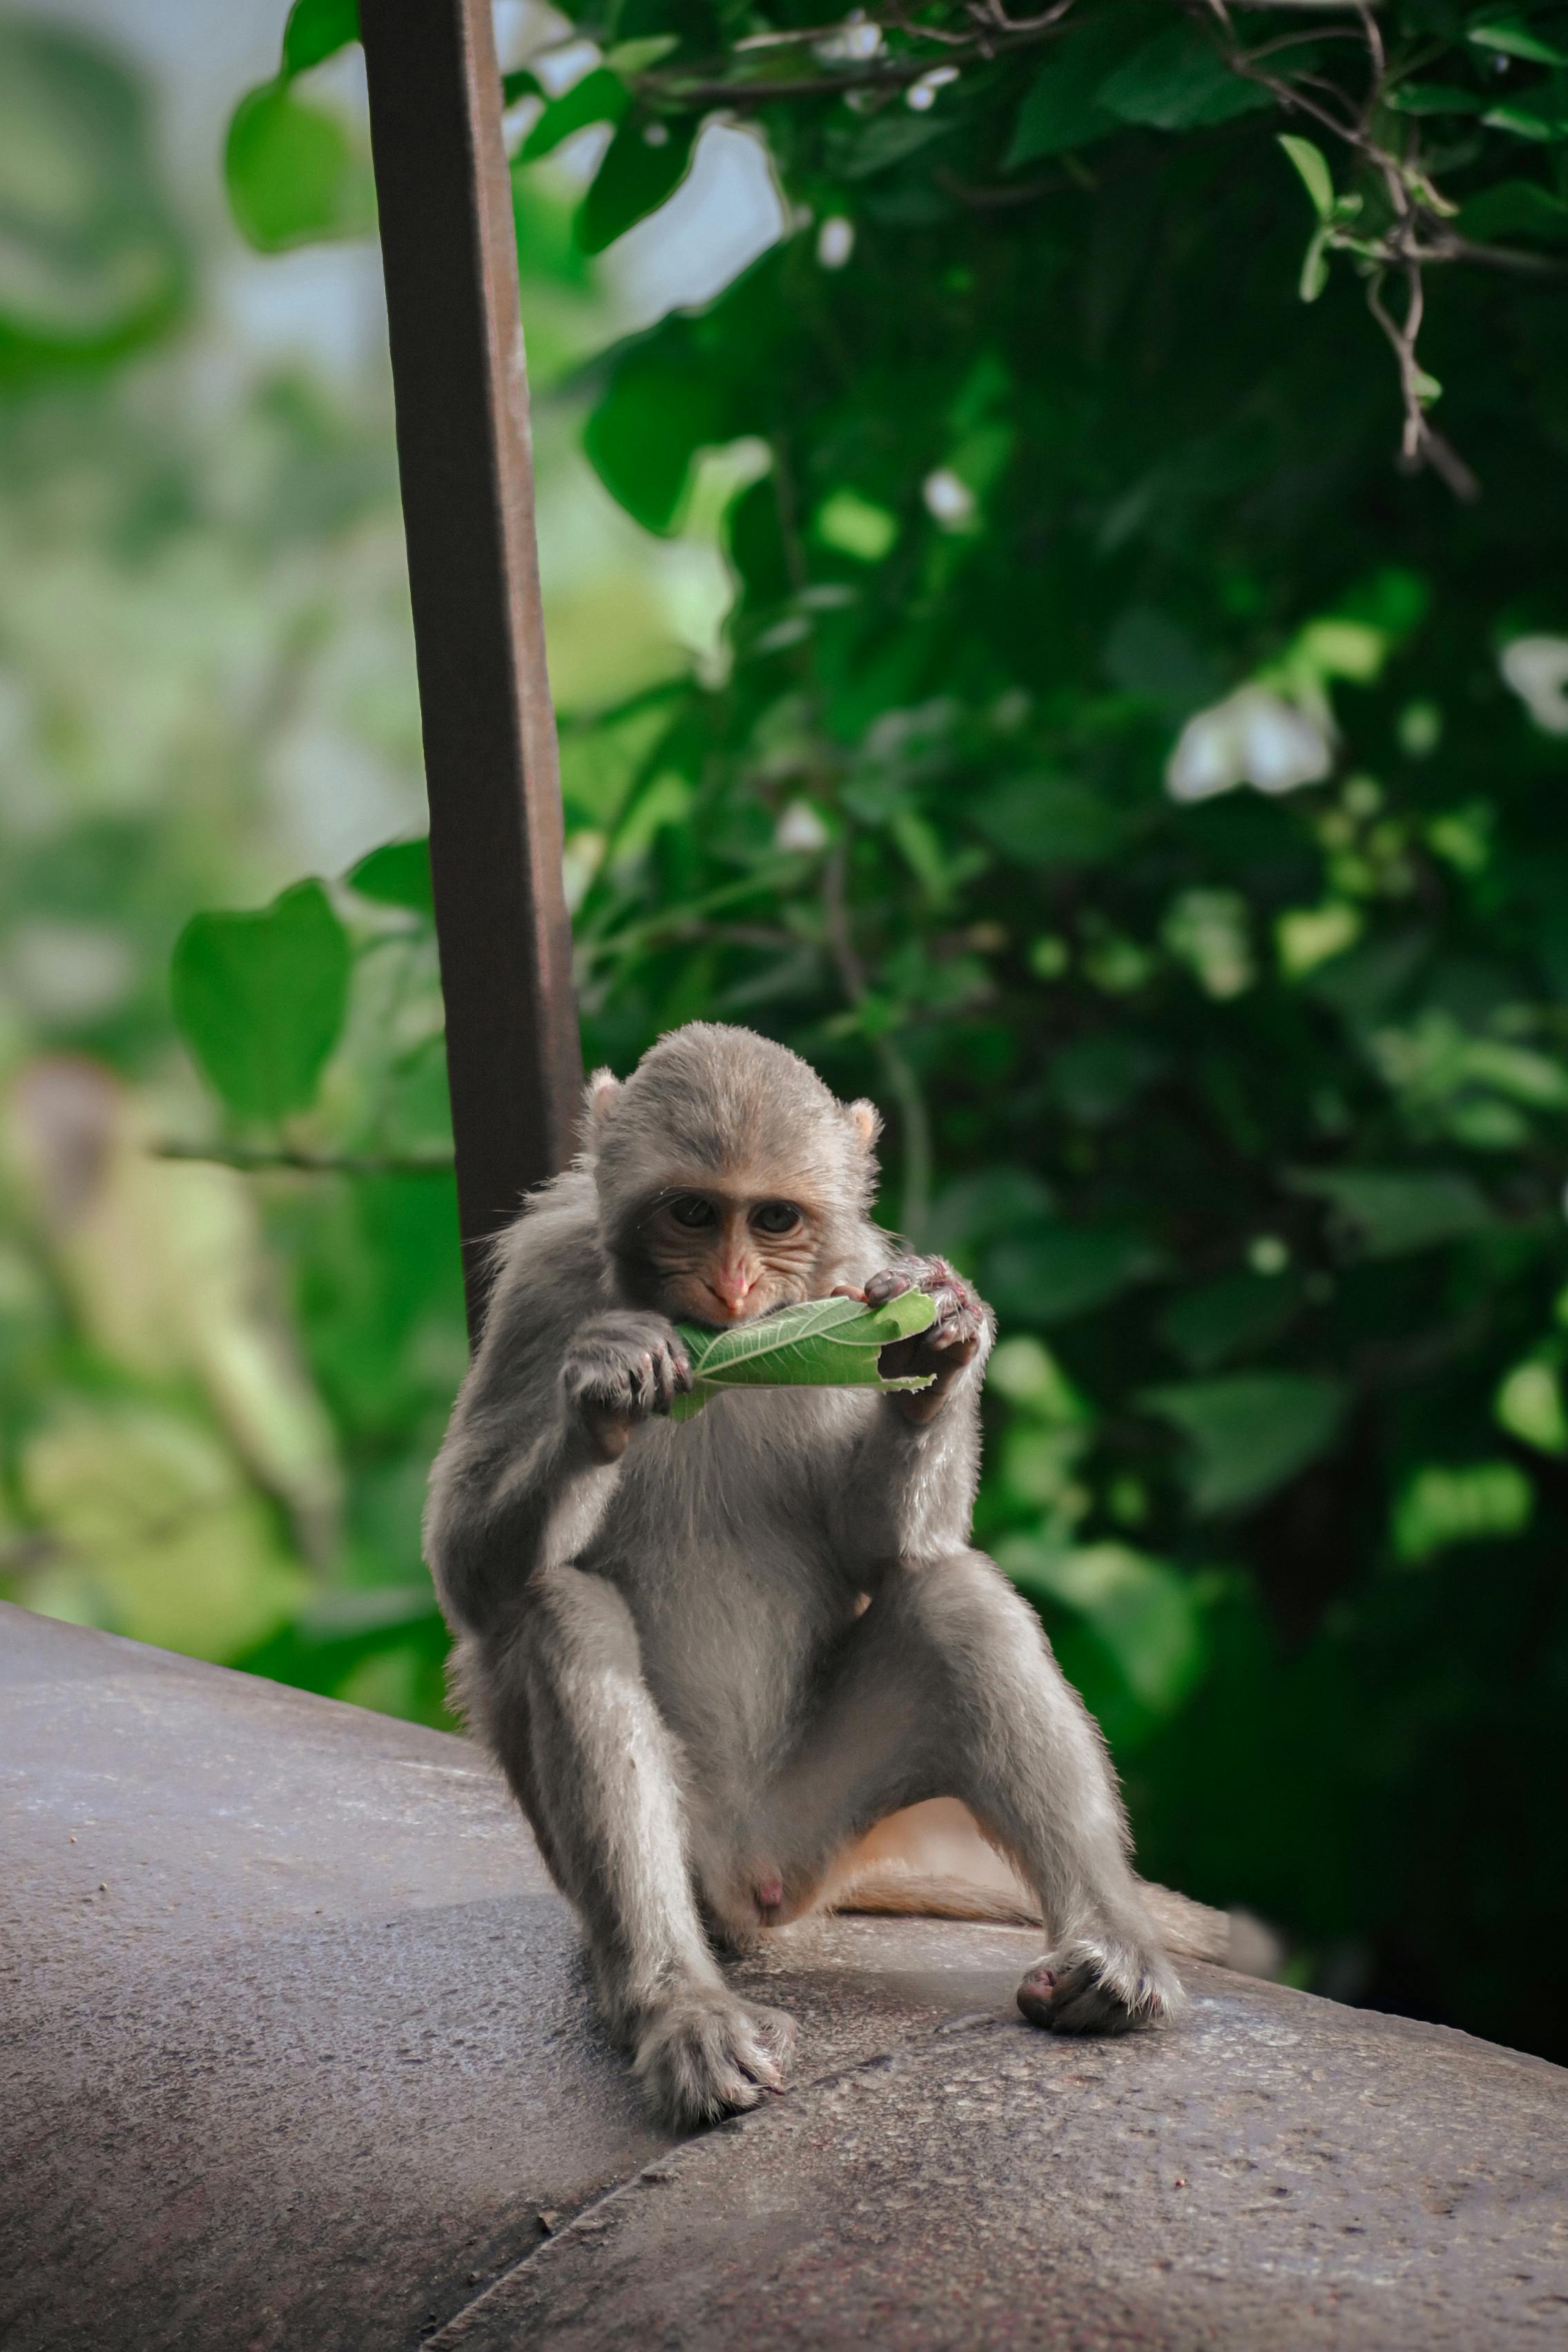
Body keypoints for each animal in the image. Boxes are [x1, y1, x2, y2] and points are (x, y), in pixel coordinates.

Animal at [425, 1022, 1257, 2129]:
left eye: (773, 1216)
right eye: (693, 1211)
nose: (736, 1291)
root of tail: (752, 1877)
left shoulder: (853, 1273)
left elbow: (883, 1551)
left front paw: (940, 1339)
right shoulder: (541, 1280)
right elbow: (467, 1570)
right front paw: (604, 1384)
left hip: (817, 1823)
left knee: (955, 1598)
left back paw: (1109, 1954)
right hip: (694, 1862)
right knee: (558, 1613)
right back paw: (676, 2004)